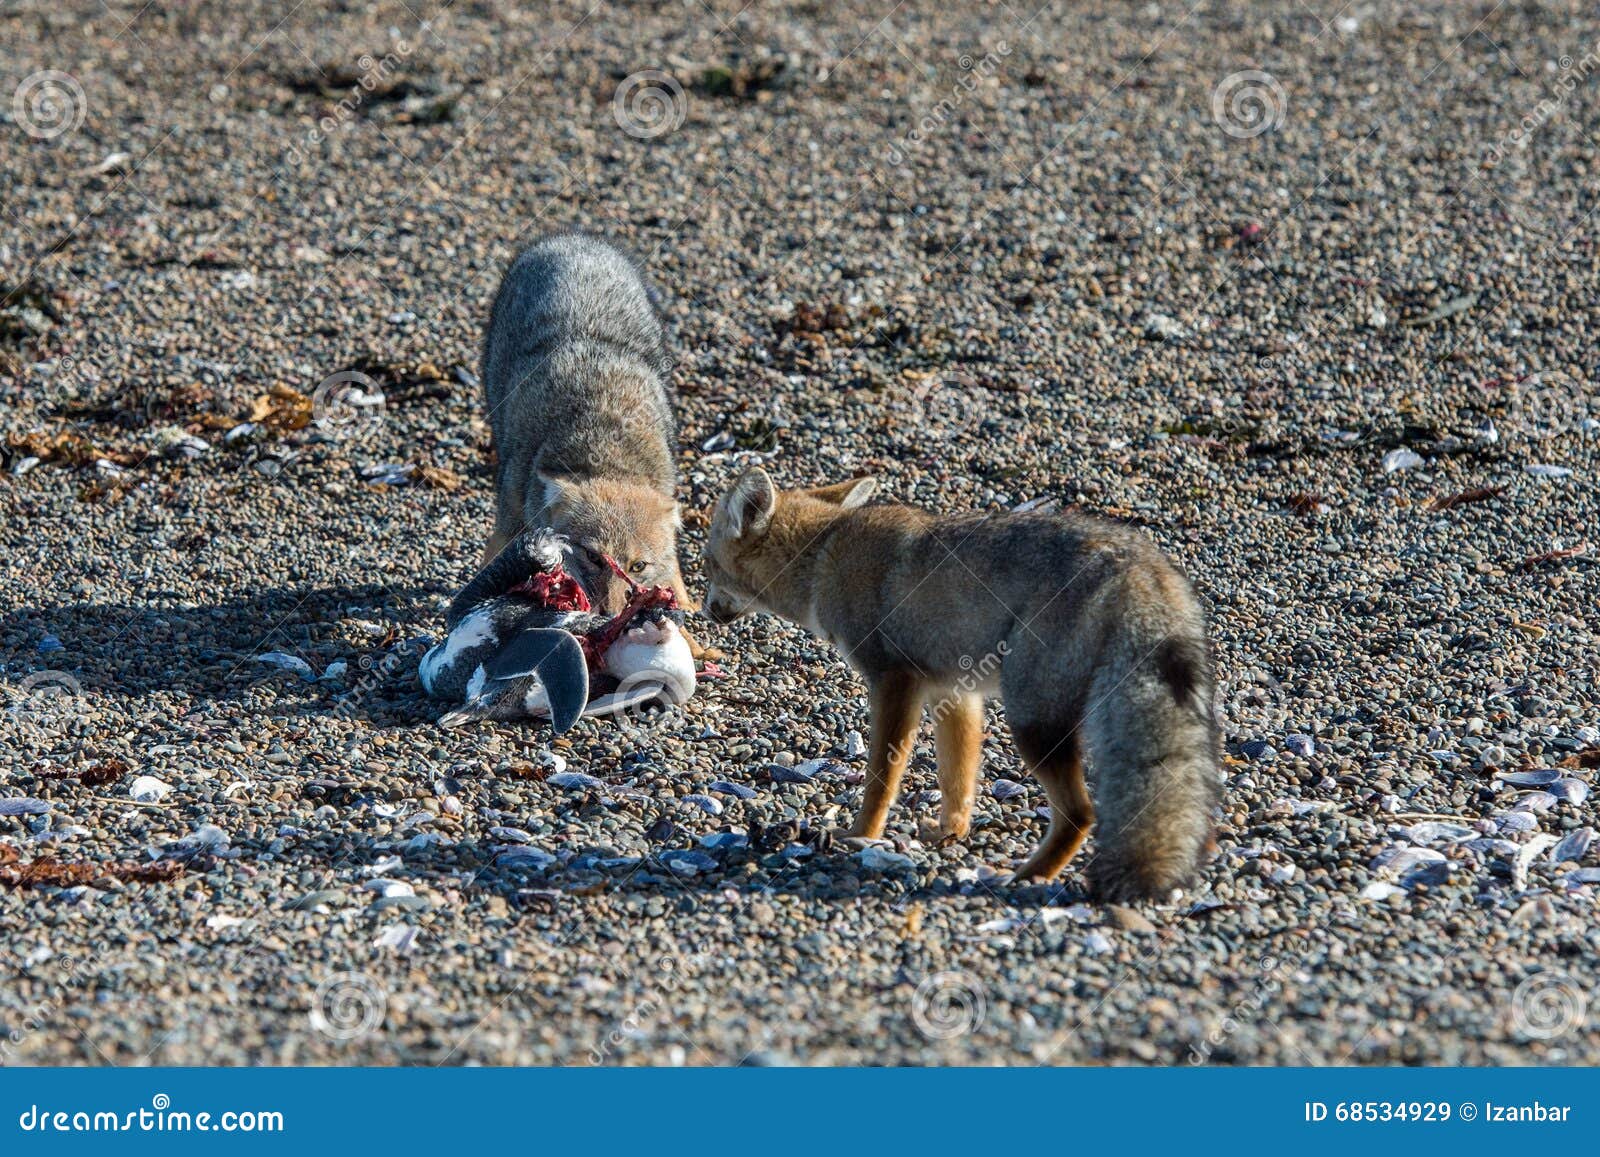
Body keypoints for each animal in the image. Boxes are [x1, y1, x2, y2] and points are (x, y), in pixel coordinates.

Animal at [481, 232, 691, 616]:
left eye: (637, 566)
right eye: (593, 557)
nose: (610, 612)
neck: (605, 444)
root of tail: (572, 239)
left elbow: (672, 568)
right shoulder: (510, 518)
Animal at [701, 468, 1221, 902]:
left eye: (706, 566)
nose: (702, 610)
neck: (822, 556)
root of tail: (1140, 563)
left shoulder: (893, 681)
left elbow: (881, 775)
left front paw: (861, 834)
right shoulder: (955, 693)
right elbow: (957, 776)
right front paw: (950, 831)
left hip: (1030, 721)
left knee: (1081, 814)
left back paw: (1030, 876)